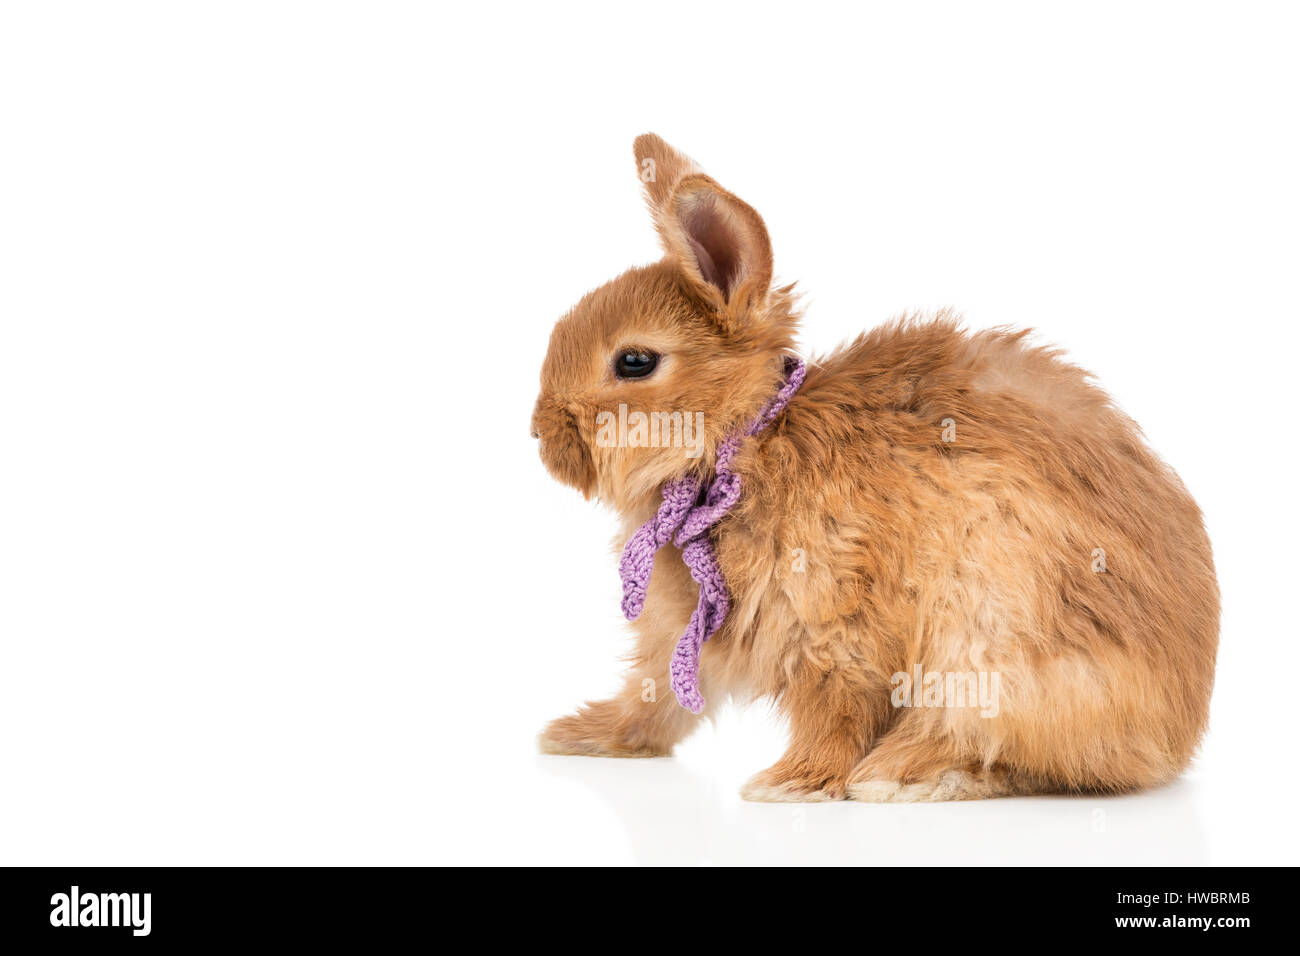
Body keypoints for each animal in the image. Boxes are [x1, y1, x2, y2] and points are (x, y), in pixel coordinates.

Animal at [530, 133, 1219, 801]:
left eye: (635, 362)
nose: (539, 434)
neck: (745, 441)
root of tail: (1176, 736)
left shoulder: (830, 620)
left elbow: (834, 708)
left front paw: (792, 784)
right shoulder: (681, 636)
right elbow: (655, 700)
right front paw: (579, 735)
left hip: (989, 649)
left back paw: (906, 772)